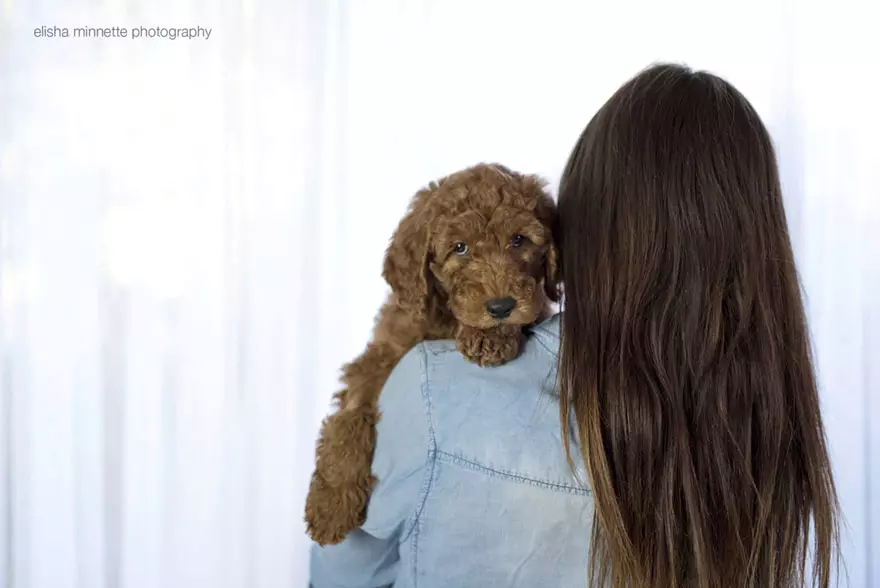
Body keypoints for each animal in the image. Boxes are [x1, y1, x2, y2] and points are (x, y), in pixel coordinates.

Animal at [306, 162, 560, 548]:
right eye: (460, 248)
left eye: (519, 240)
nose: (501, 306)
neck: (445, 320)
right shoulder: (379, 359)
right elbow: (349, 417)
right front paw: (330, 504)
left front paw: (489, 336)